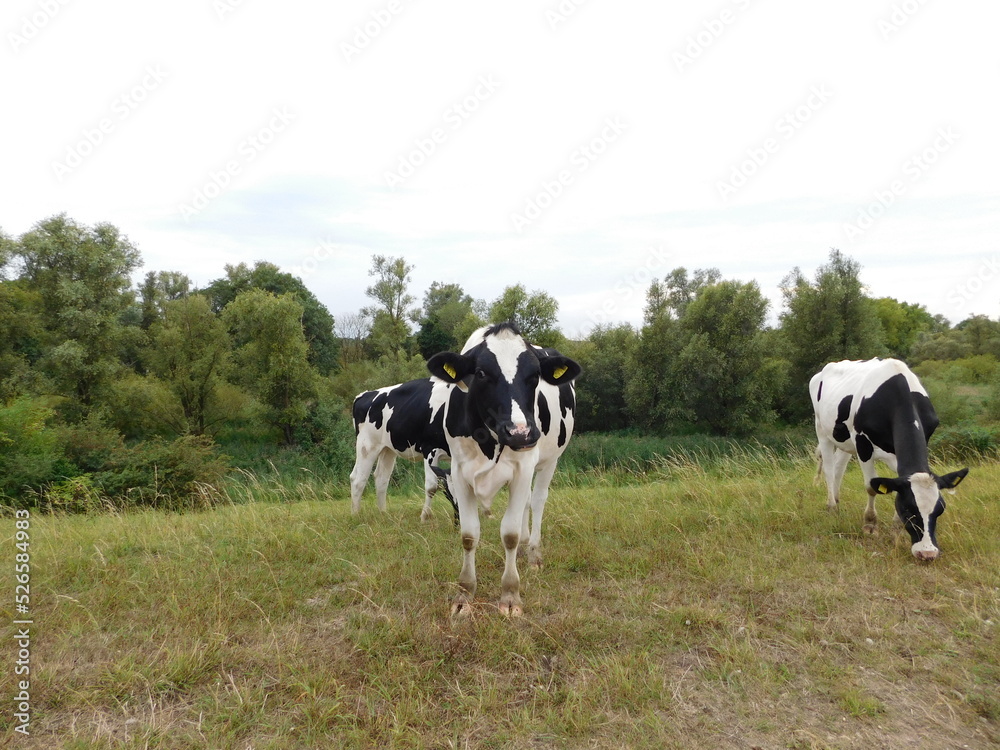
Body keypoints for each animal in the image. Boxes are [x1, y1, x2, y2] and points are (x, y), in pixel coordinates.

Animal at [427, 322, 581, 616]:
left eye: (535, 375)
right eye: (481, 373)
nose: (519, 432)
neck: (489, 440)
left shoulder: (524, 466)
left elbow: (509, 534)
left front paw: (510, 596)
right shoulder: (459, 471)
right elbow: (469, 535)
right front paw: (464, 594)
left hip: (550, 460)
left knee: (537, 501)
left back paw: (533, 553)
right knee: (526, 505)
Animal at [809, 358, 968, 561]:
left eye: (940, 509)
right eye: (908, 510)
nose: (927, 553)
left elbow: (898, 483)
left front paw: (896, 528)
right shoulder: (862, 443)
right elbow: (871, 486)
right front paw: (870, 525)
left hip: (845, 439)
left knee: (839, 466)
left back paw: (836, 501)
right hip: (821, 428)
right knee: (829, 468)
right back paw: (831, 506)